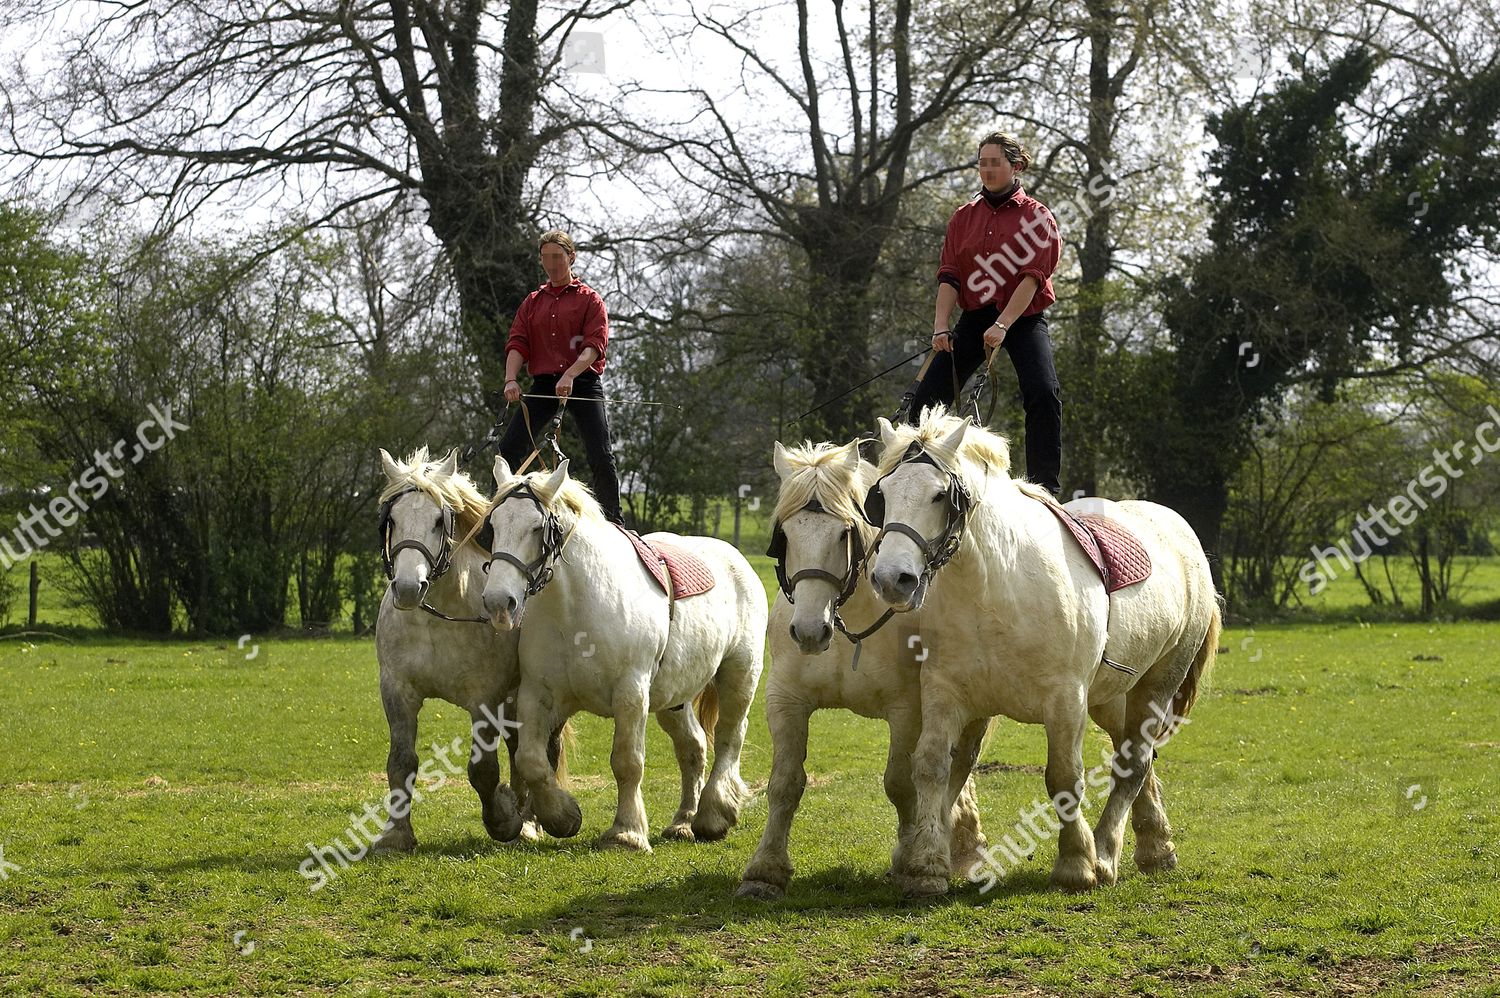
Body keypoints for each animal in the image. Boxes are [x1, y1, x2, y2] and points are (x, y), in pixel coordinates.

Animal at [373, 446, 565, 851]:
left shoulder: (484, 701)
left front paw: (503, 820)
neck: (437, 620)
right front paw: (396, 833)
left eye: (437, 521)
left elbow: (483, 770)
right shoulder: (397, 691)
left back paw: (530, 820)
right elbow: (401, 760)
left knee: (544, 749)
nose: (408, 588)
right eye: (393, 519)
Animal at [479, 457, 767, 851]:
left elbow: (627, 762)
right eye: (492, 526)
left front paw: (626, 832)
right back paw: (684, 820)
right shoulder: (537, 694)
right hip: (673, 699)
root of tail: (736, 560)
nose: (498, 602)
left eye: (537, 528)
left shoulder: (631, 694)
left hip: (739, 675)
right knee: (693, 747)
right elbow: (531, 760)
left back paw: (713, 815)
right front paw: (562, 816)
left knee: (729, 736)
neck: (575, 608)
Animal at [737, 438, 992, 900]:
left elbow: (900, 783)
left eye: (845, 532)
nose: (809, 630)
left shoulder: (907, 710)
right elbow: (784, 783)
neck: (847, 623)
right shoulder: (785, 701)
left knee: (958, 764)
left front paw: (911, 859)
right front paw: (764, 871)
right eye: (786, 534)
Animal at [863, 407, 1220, 897]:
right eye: (882, 496)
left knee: (1133, 762)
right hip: (1112, 695)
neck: (996, 584)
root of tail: (1180, 530)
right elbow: (932, 766)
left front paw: (1076, 863)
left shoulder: (1065, 699)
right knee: (1138, 757)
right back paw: (1156, 848)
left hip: (1158, 681)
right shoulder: (945, 692)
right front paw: (925, 866)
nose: (891, 579)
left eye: (939, 496)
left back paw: (1106, 853)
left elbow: (1063, 777)